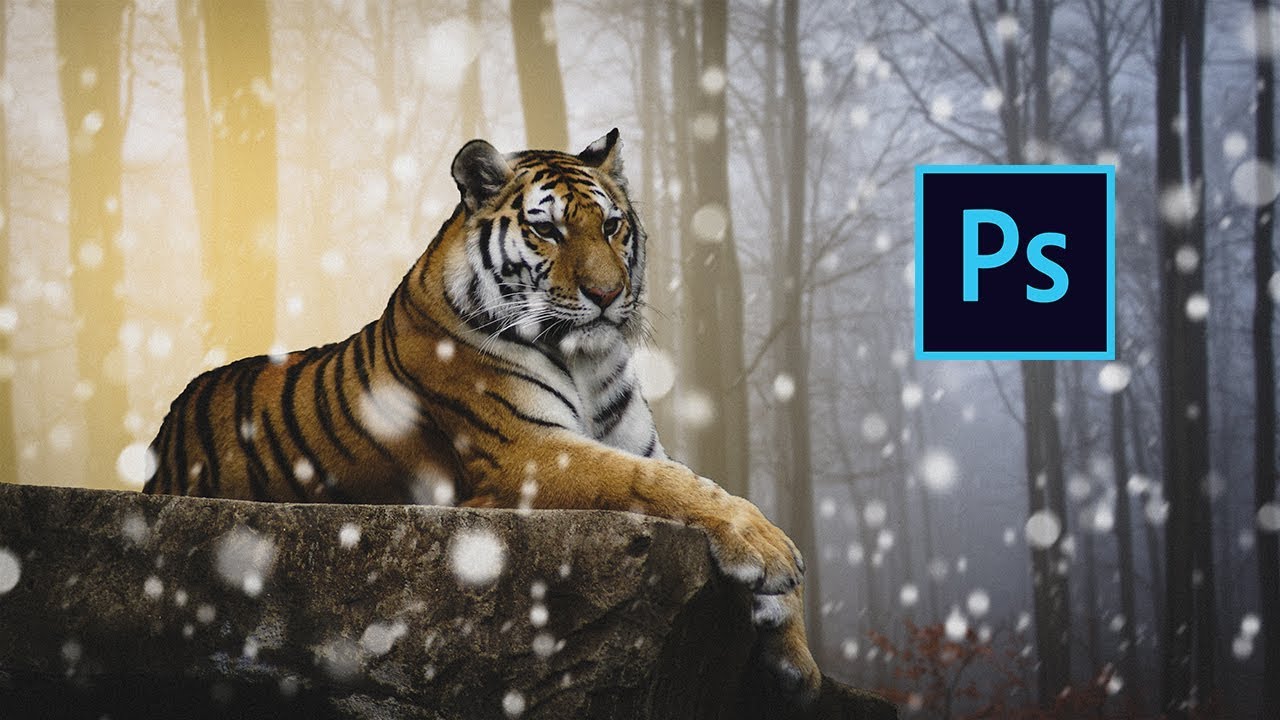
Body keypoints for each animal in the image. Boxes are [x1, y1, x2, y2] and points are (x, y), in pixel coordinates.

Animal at [143, 130, 820, 700]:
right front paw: (771, 552)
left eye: (612, 225)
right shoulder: (531, 452)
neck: (589, 363)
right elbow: (666, 484)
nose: (607, 296)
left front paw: (796, 660)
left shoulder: (630, 441)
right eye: (548, 230)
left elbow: (695, 480)